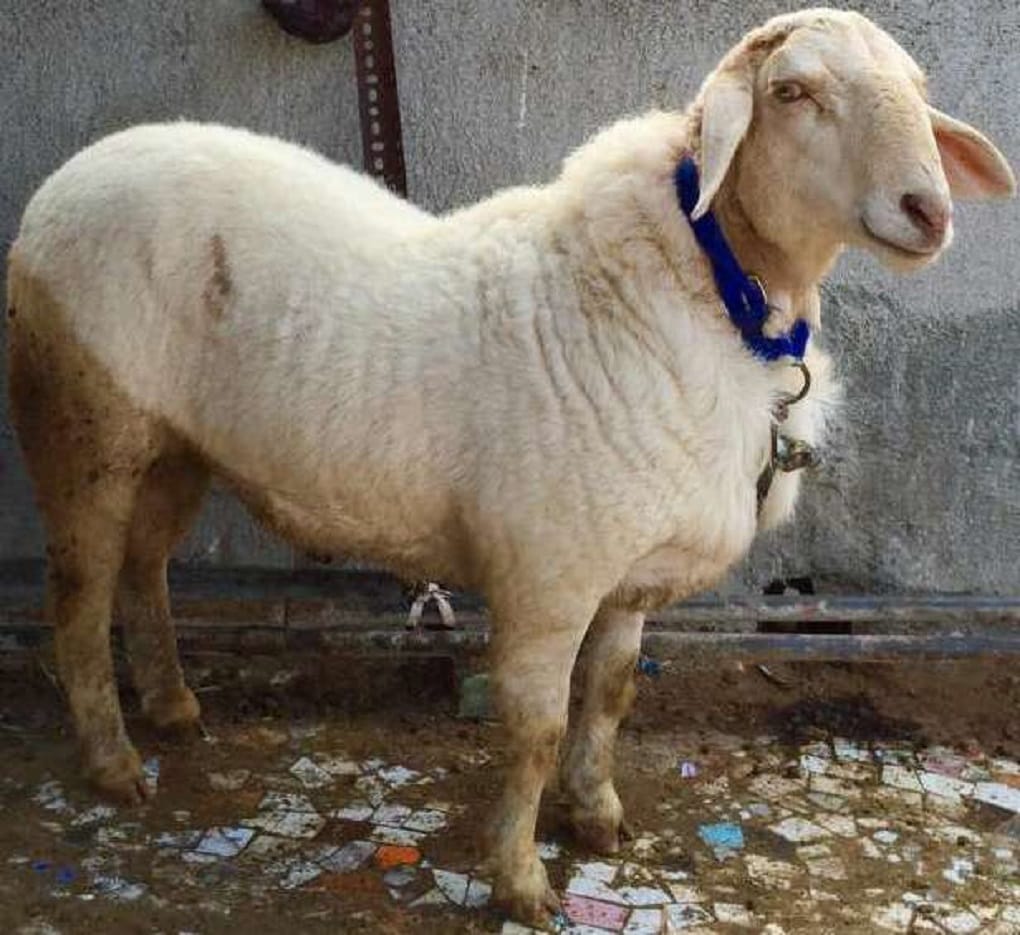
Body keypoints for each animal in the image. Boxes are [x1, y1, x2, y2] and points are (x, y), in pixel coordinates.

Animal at [6, 6, 1014, 925]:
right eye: (793, 92)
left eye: (920, 90)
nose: (930, 211)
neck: (712, 291)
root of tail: (69, 179)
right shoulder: (548, 575)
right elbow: (536, 729)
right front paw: (521, 879)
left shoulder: (628, 572)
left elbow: (609, 695)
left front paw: (596, 811)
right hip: (83, 422)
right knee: (80, 594)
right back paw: (114, 760)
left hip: (175, 442)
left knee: (145, 568)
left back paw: (172, 705)